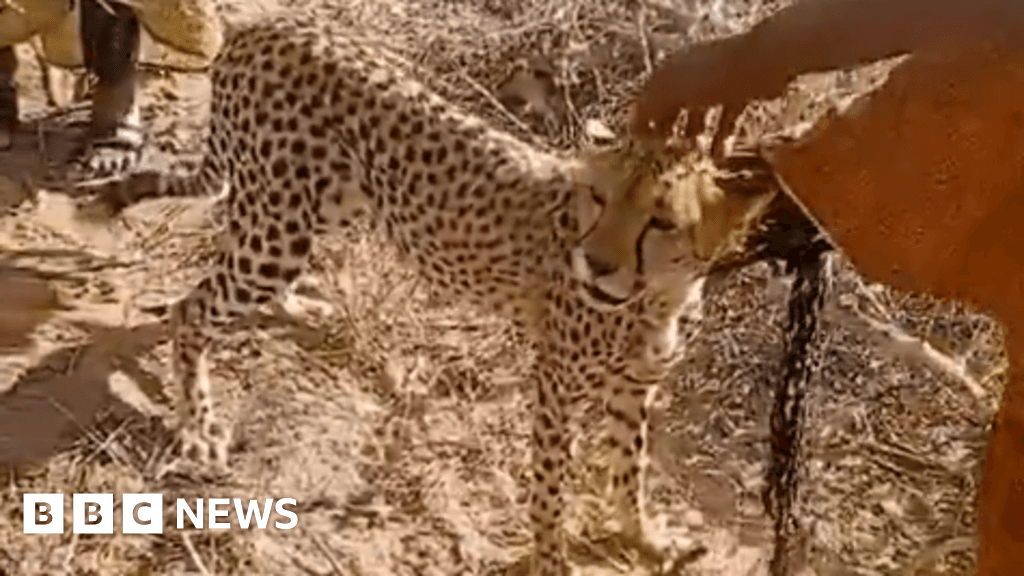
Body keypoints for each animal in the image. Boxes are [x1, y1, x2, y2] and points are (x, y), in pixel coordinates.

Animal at [75, 13, 779, 575]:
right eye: (599, 199)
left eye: (661, 220)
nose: (596, 263)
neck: (656, 295)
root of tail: (263, 26)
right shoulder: (557, 383)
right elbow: (552, 483)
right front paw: (553, 557)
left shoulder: (635, 386)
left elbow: (627, 469)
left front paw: (646, 538)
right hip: (280, 224)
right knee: (190, 308)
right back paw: (200, 425)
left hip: (315, 205)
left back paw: (299, 310)